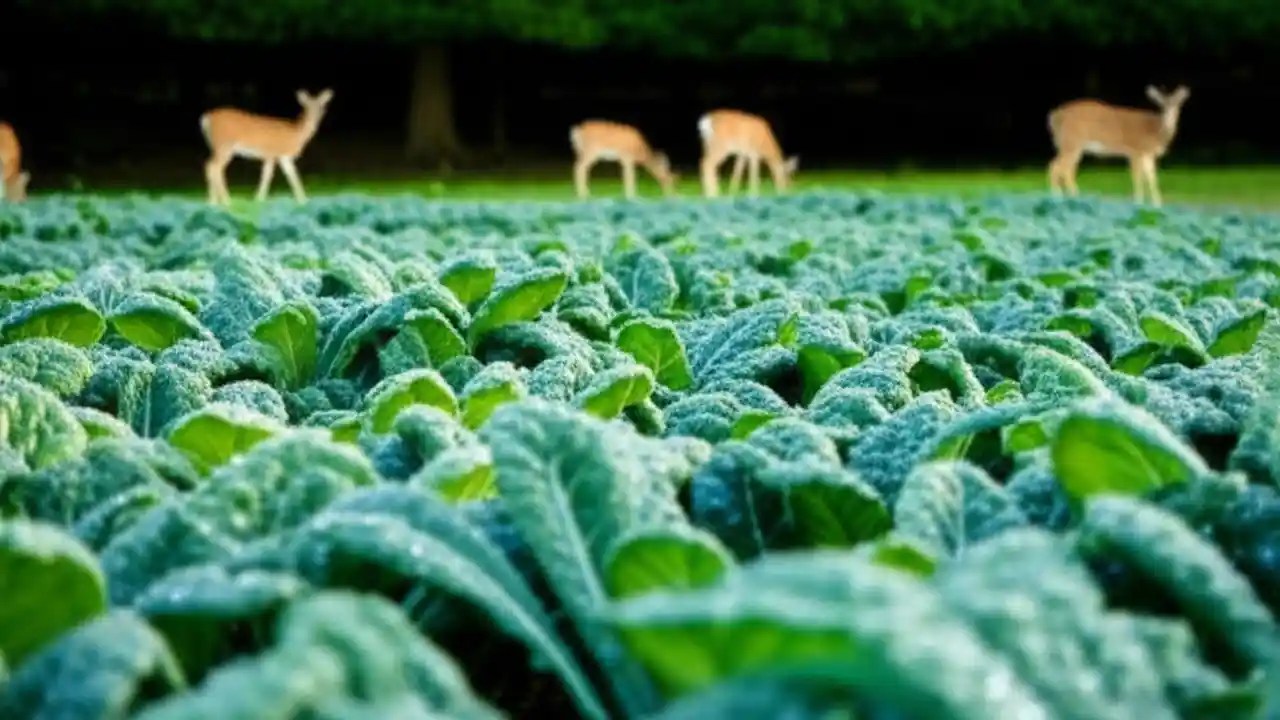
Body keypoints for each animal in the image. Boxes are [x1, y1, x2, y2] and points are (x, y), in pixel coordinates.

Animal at [200, 88, 334, 206]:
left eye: (322, 106)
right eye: (307, 107)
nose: (316, 116)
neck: (294, 136)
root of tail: (207, 119)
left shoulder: (283, 156)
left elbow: (292, 175)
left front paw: (303, 200)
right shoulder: (273, 153)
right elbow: (268, 175)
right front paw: (259, 198)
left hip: (216, 146)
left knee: (211, 166)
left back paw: (212, 201)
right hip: (224, 145)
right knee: (214, 167)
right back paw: (226, 200)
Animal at [1047, 85, 1191, 207]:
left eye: (1178, 105)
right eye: (1162, 105)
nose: (1169, 117)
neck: (1156, 132)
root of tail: (1054, 116)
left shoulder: (1148, 154)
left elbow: (1151, 177)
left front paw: (1157, 205)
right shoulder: (1135, 150)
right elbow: (1137, 176)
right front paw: (1138, 202)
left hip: (1070, 145)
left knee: (1065, 168)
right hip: (1071, 141)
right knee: (1059, 168)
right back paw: (1062, 197)